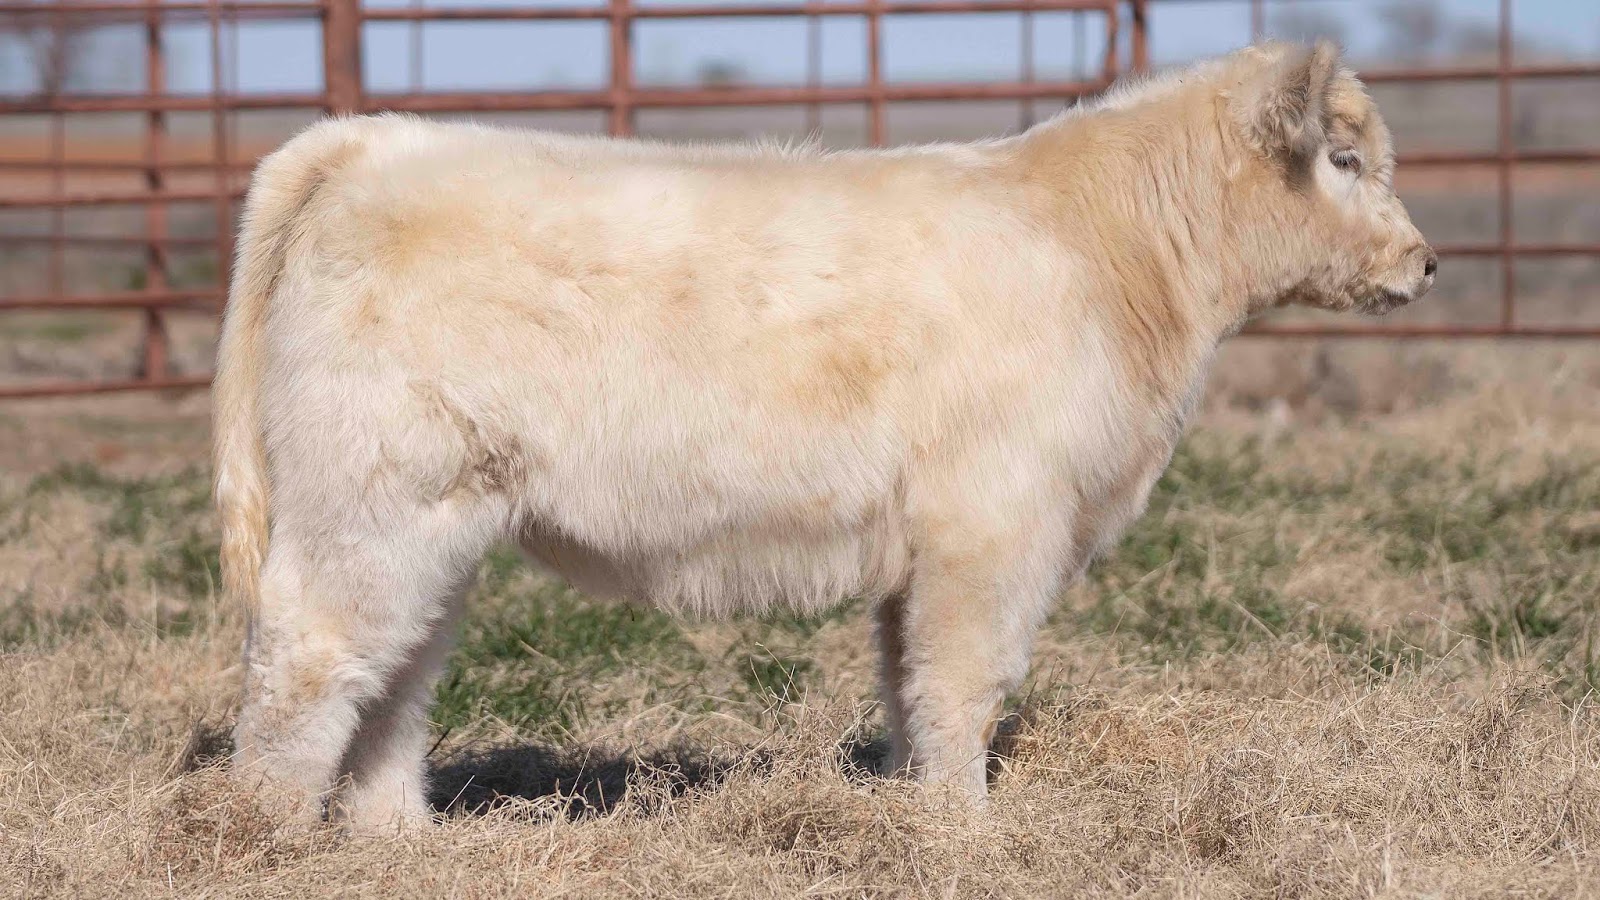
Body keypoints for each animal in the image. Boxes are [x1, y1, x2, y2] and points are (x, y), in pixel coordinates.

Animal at [215, 41, 1435, 828]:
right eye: (1344, 161)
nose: (1426, 263)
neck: (1108, 251)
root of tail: (373, 143)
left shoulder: (934, 541)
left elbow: (907, 679)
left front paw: (915, 809)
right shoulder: (995, 523)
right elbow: (963, 677)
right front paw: (964, 830)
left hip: (433, 519)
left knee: (395, 674)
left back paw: (394, 841)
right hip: (372, 498)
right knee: (307, 662)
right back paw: (269, 842)